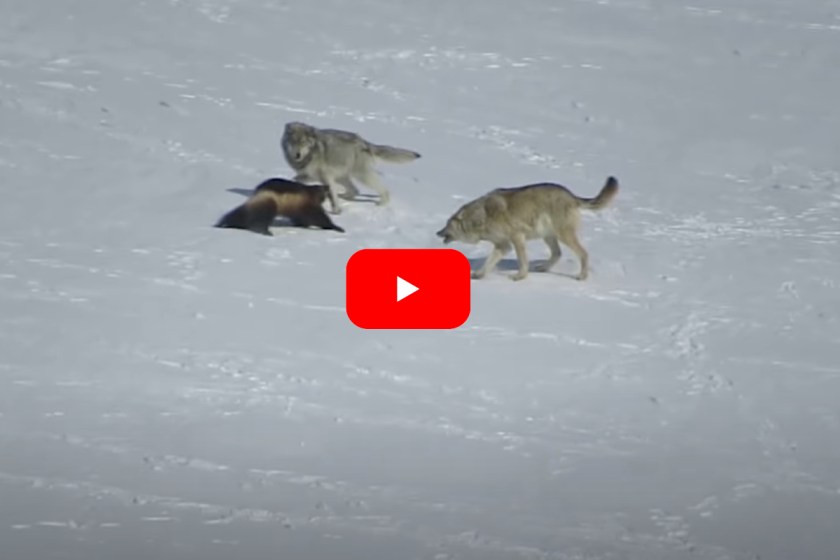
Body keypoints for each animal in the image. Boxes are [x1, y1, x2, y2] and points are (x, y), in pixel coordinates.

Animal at [215, 177, 345, 236]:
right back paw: (266, 232)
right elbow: (319, 218)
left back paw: (224, 223)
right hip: (269, 204)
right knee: (261, 220)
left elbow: (301, 219)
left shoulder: (298, 209)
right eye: (324, 188)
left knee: (239, 215)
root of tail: (257, 193)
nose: (328, 186)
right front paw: (336, 227)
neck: (311, 193)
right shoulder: (309, 206)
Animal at [281, 121, 421, 214]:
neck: (310, 154)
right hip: (343, 177)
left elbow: (332, 196)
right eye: (293, 142)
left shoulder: (325, 177)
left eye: (303, 142)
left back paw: (381, 203)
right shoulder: (312, 176)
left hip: (362, 176)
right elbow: (297, 179)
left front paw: (336, 210)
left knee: (382, 190)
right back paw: (344, 196)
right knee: (355, 191)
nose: (297, 155)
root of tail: (365, 143)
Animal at [436, 176, 618, 281]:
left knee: (583, 253)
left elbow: (522, 260)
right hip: (548, 236)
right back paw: (543, 268)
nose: (437, 233)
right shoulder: (503, 245)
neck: (483, 217)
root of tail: (571, 195)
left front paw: (520, 277)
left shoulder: (516, 238)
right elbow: (489, 262)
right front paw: (479, 275)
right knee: (557, 253)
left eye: (446, 224)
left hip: (563, 235)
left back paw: (581, 276)